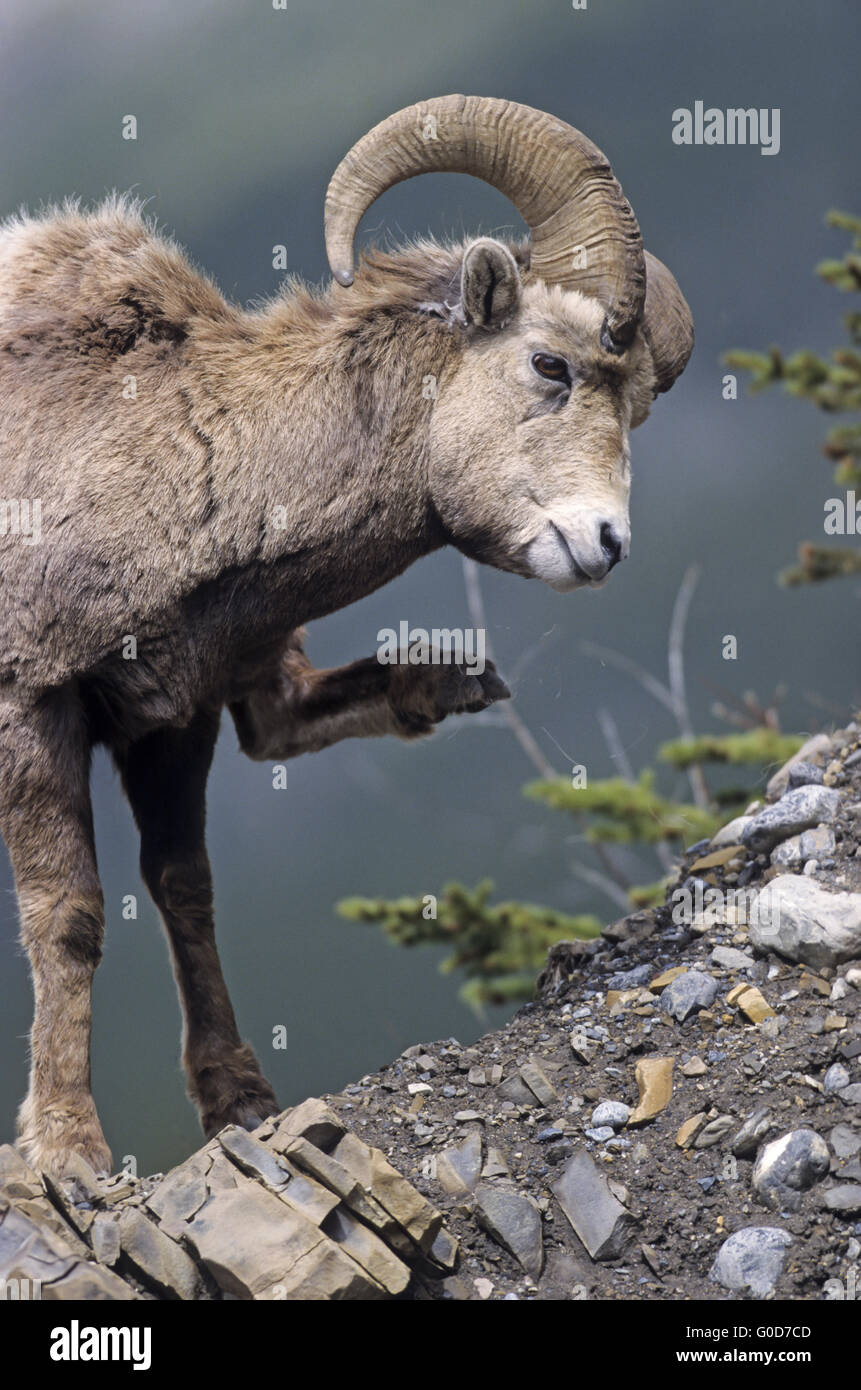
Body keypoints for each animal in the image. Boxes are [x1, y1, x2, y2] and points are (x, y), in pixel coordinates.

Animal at [0, 95, 693, 1177]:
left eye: (639, 402)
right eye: (549, 363)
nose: (605, 543)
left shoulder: (177, 717)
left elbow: (185, 889)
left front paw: (239, 1100)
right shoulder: (33, 708)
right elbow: (69, 918)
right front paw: (67, 1152)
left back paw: (450, 682)